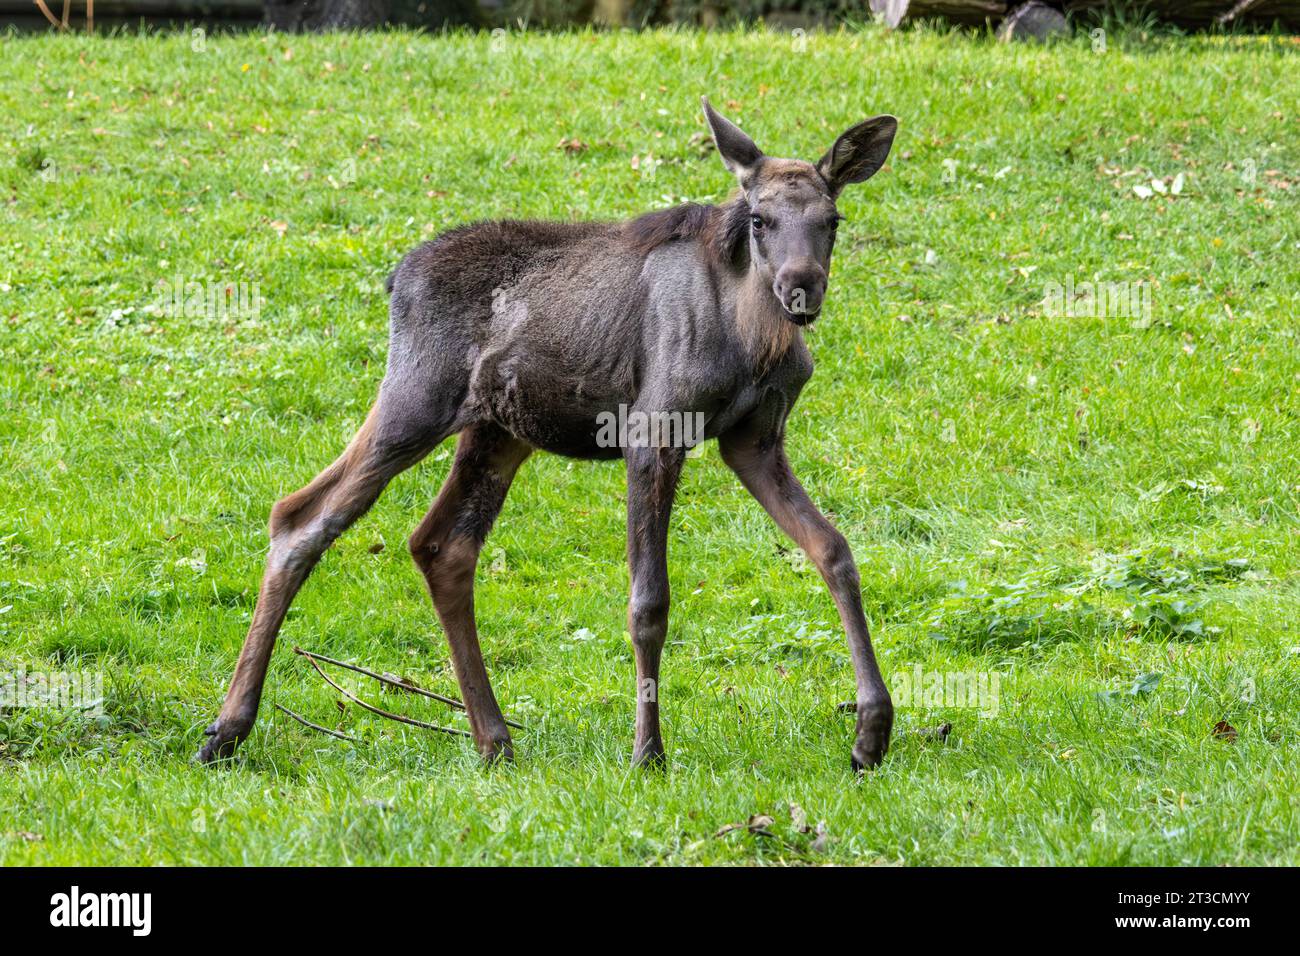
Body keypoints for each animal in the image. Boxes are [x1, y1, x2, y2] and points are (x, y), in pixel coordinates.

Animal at [197, 98, 898, 772]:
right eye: (759, 220)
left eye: (832, 221)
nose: (800, 288)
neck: (751, 337)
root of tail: (395, 279)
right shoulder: (653, 429)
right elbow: (648, 602)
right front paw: (647, 752)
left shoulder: (753, 442)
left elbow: (834, 550)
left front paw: (871, 732)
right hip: (415, 401)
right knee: (299, 516)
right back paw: (227, 729)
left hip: (497, 431)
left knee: (440, 545)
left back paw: (494, 738)